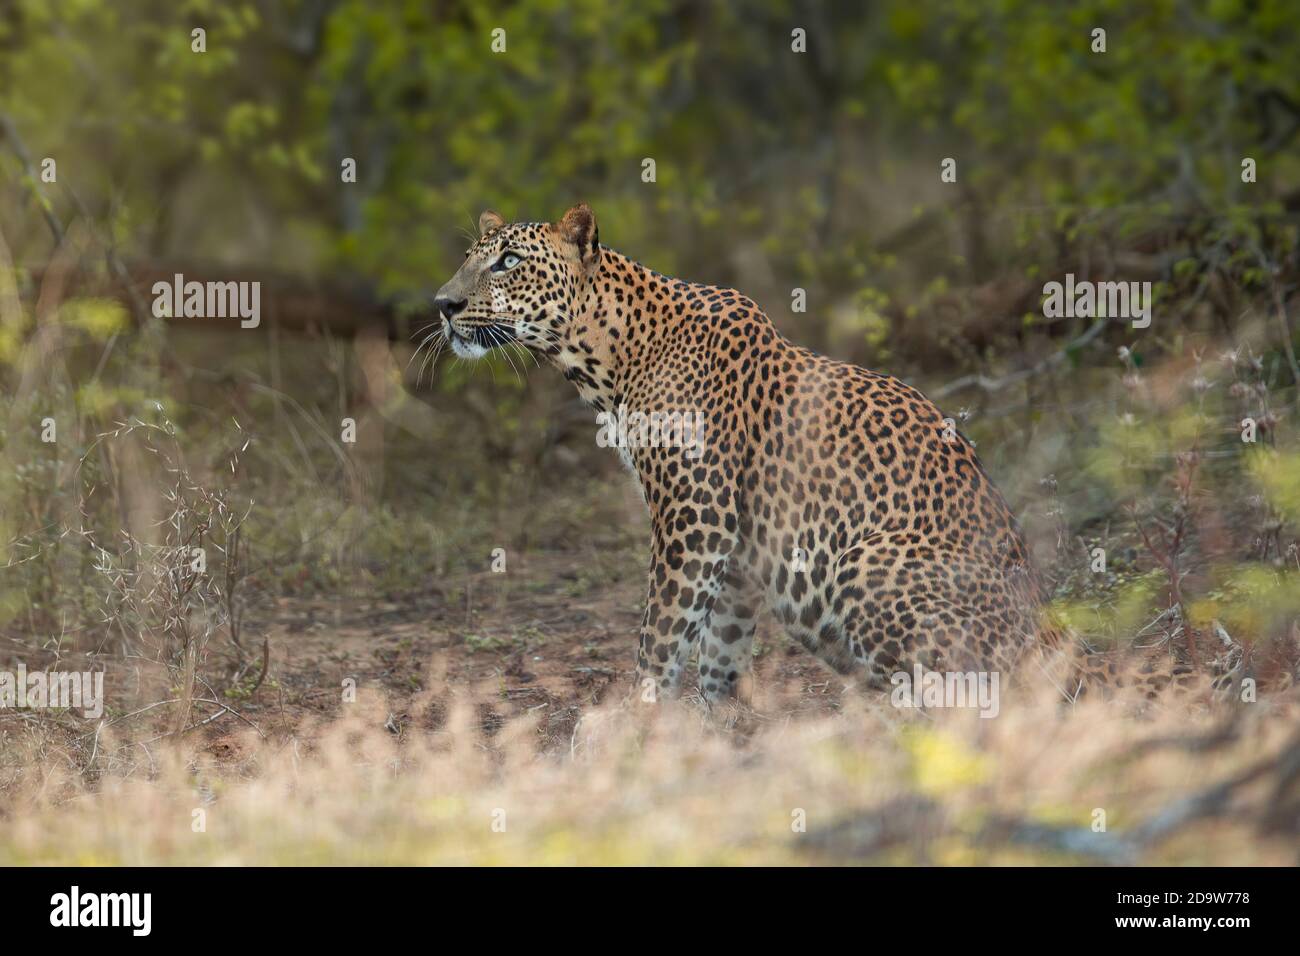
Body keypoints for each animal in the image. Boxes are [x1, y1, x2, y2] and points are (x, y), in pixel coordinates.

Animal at [429, 203, 1195, 706]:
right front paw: (708, 732)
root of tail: (1049, 628)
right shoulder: (734, 544)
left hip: (869, 560)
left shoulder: (693, 518)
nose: (442, 304)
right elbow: (717, 646)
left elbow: (660, 634)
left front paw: (628, 729)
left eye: (507, 261)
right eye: (467, 256)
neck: (606, 358)